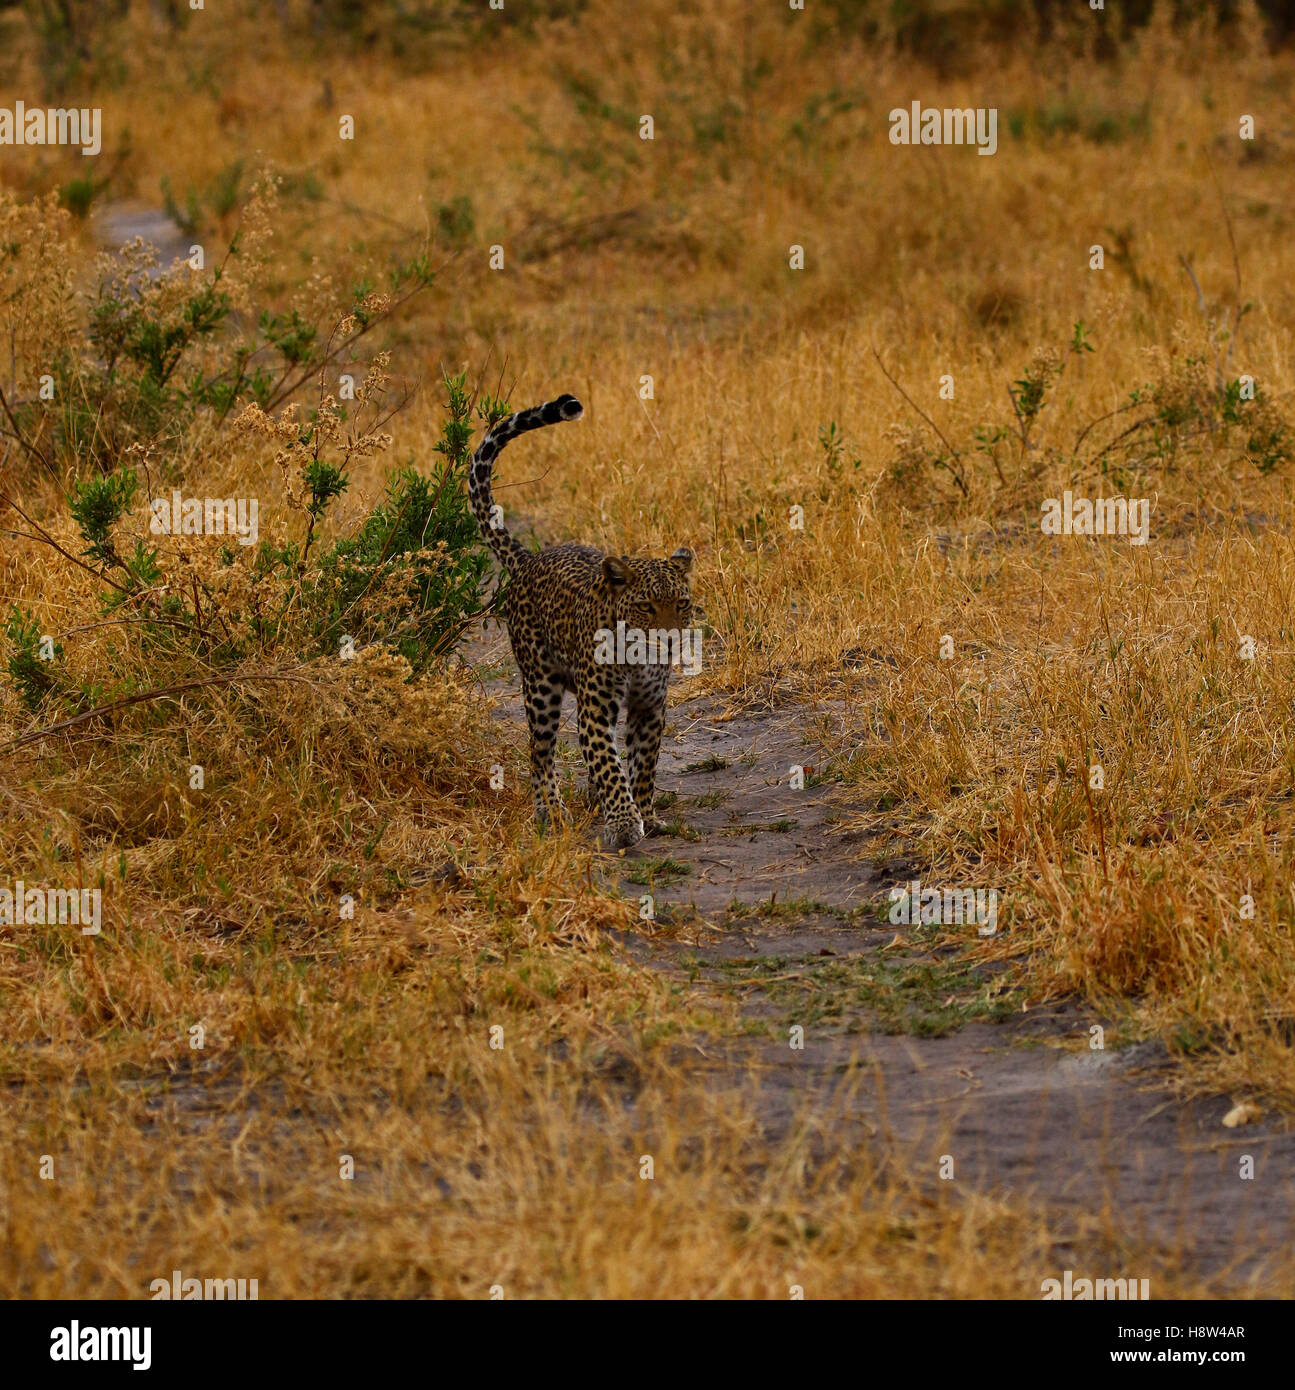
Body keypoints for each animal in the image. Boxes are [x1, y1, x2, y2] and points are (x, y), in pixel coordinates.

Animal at [468, 392, 694, 850]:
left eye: (681, 604)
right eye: (646, 606)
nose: (669, 642)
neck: (637, 657)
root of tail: (530, 559)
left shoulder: (649, 708)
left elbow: (642, 767)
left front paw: (645, 814)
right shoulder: (596, 708)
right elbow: (610, 766)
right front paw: (624, 824)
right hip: (540, 687)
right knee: (540, 753)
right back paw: (552, 812)